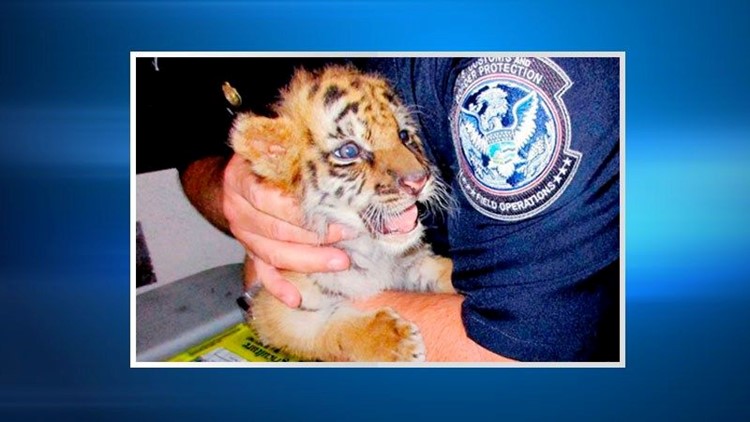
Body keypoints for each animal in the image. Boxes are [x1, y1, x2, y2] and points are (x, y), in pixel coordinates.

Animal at [229, 65, 455, 362]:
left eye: (403, 136)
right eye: (349, 151)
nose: (419, 180)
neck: (372, 252)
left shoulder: (412, 263)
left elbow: (442, 270)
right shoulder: (278, 307)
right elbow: (332, 325)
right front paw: (395, 342)